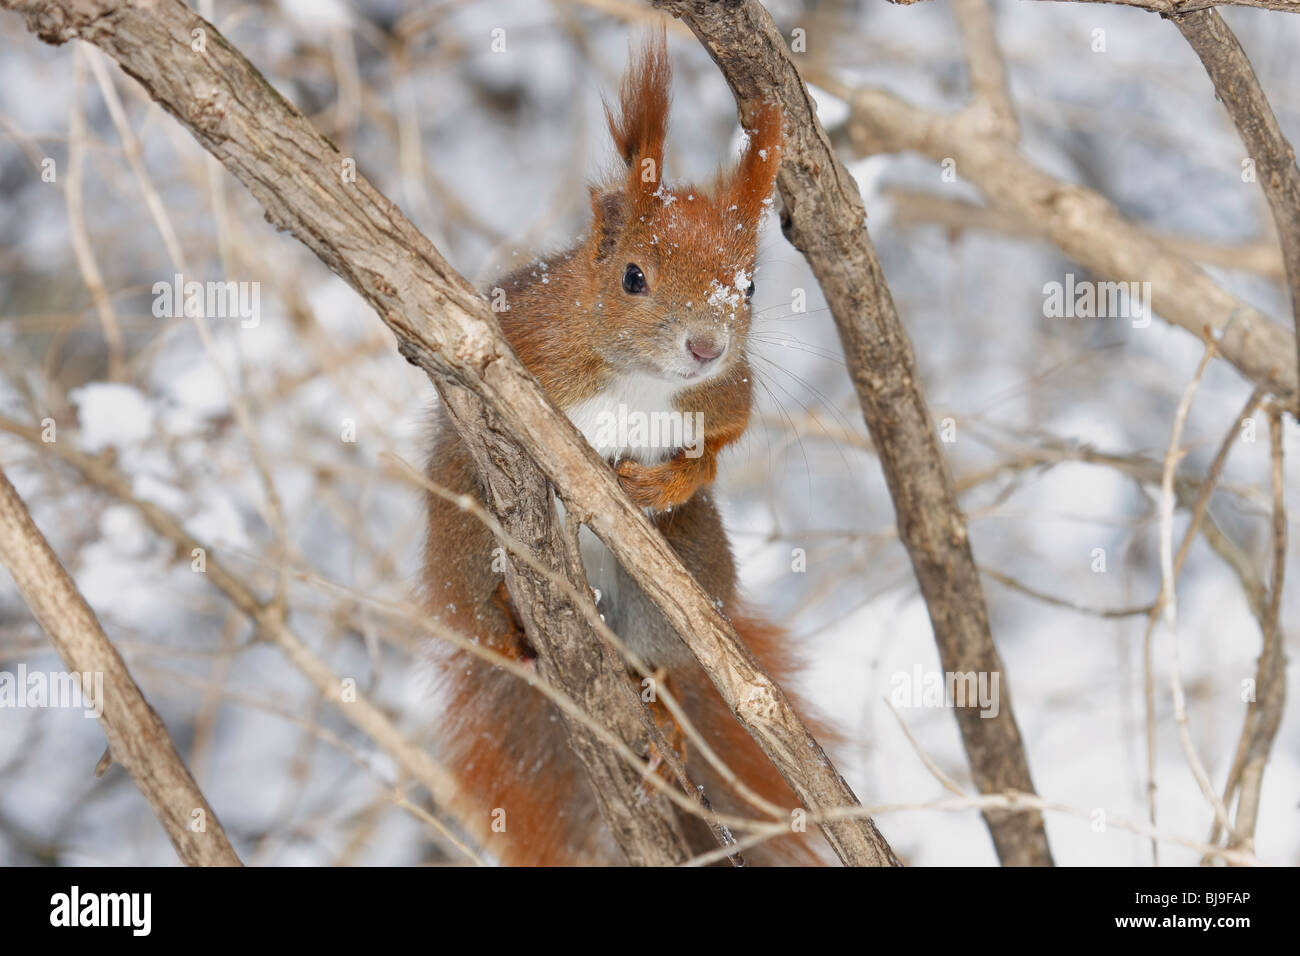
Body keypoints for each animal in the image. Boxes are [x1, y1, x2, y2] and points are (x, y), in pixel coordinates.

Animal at [422, 33, 829, 865]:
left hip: (683, 573)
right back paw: (510, 623)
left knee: (662, 660)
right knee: (486, 604)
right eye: (633, 276)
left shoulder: (726, 394)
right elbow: (471, 404)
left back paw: (663, 715)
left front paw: (669, 481)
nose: (705, 347)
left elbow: (720, 443)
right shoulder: (521, 344)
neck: (640, 378)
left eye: (747, 288)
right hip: (463, 555)